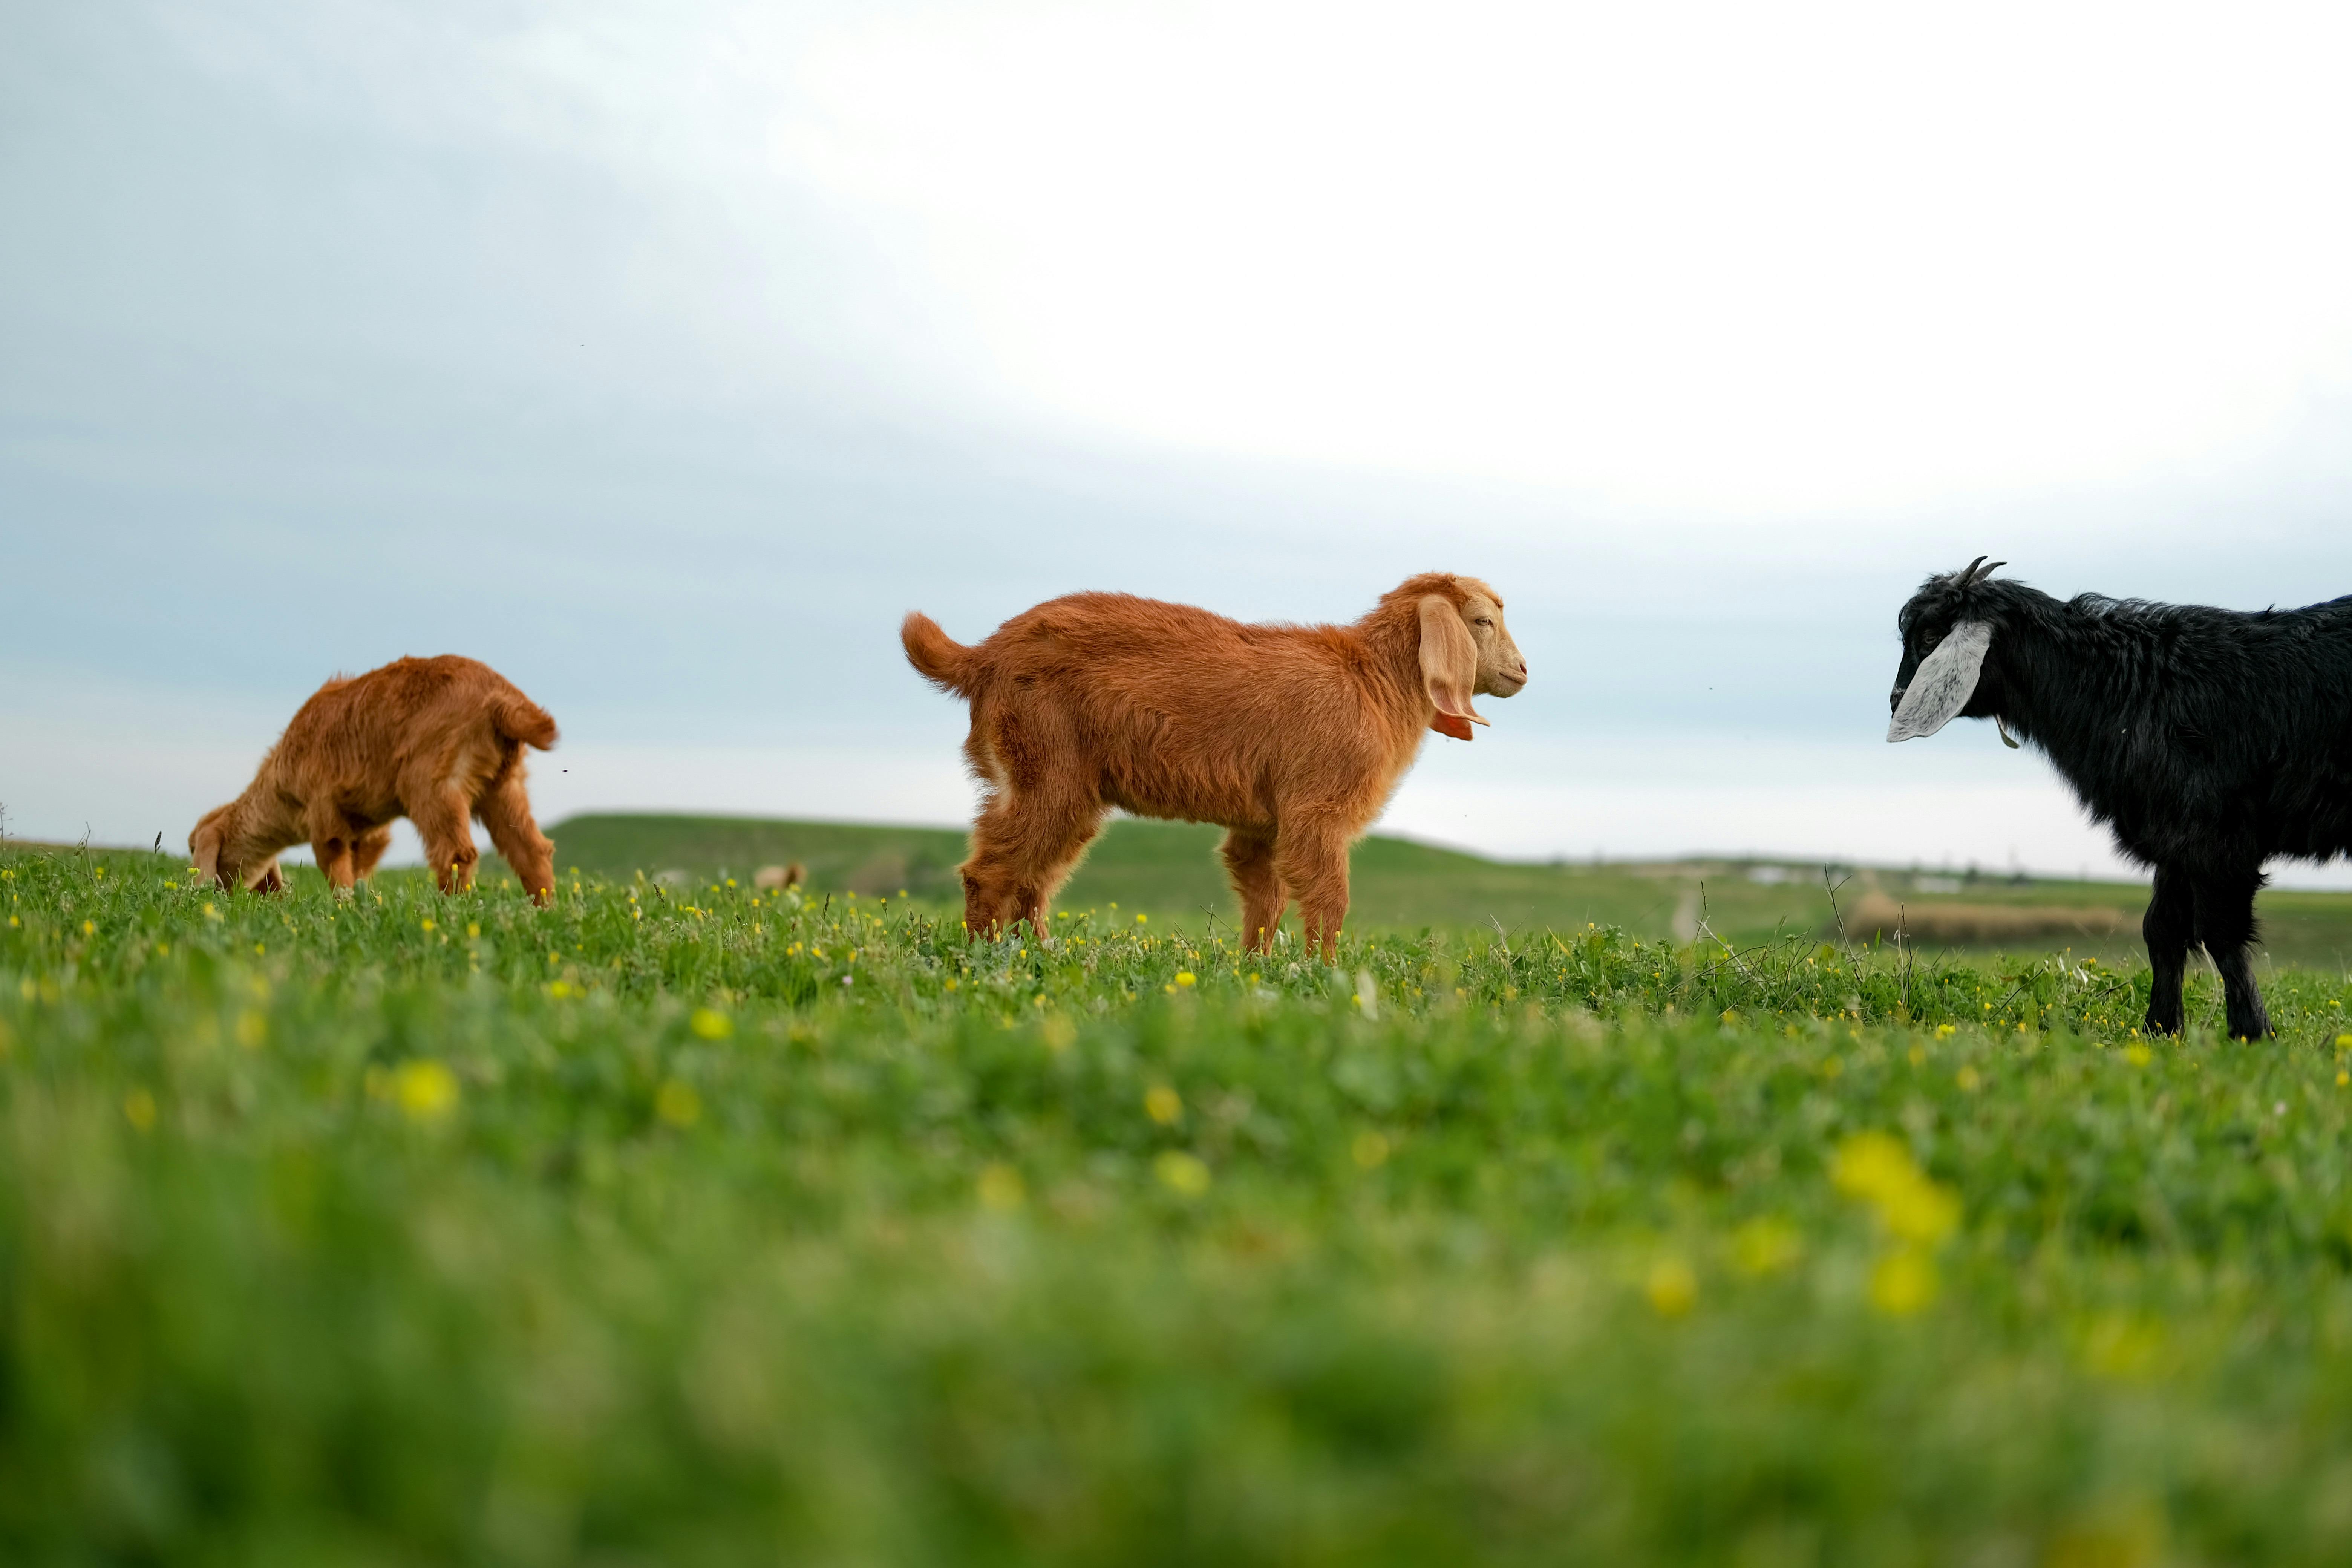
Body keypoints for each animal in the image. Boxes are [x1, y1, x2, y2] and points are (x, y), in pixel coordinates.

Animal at [191, 655, 560, 905]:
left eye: (195, 848)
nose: (222, 897)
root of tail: (503, 700)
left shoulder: (324, 815)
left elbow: (336, 868)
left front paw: (342, 910)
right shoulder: (368, 828)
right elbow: (361, 870)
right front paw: (363, 905)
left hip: (434, 781)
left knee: (457, 854)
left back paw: (448, 911)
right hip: (503, 784)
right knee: (532, 849)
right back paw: (543, 910)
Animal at [902, 573, 1528, 958]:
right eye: (1481, 621)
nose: (1523, 671)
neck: (1373, 682)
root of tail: (982, 657)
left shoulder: (1263, 822)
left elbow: (1265, 897)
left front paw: (1257, 967)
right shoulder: (1316, 810)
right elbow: (1329, 897)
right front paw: (1326, 974)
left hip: (1044, 780)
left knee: (1034, 875)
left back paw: (1039, 951)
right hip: (1047, 768)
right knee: (993, 870)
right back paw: (986, 959)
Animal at [1887, 556, 2352, 1038]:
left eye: (1929, 637)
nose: (1895, 700)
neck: (2131, 685)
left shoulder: (2215, 839)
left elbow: (2221, 934)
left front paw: (2252, 1030)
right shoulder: (2174, 838)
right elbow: (2161, 930)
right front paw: (2160, 1028)